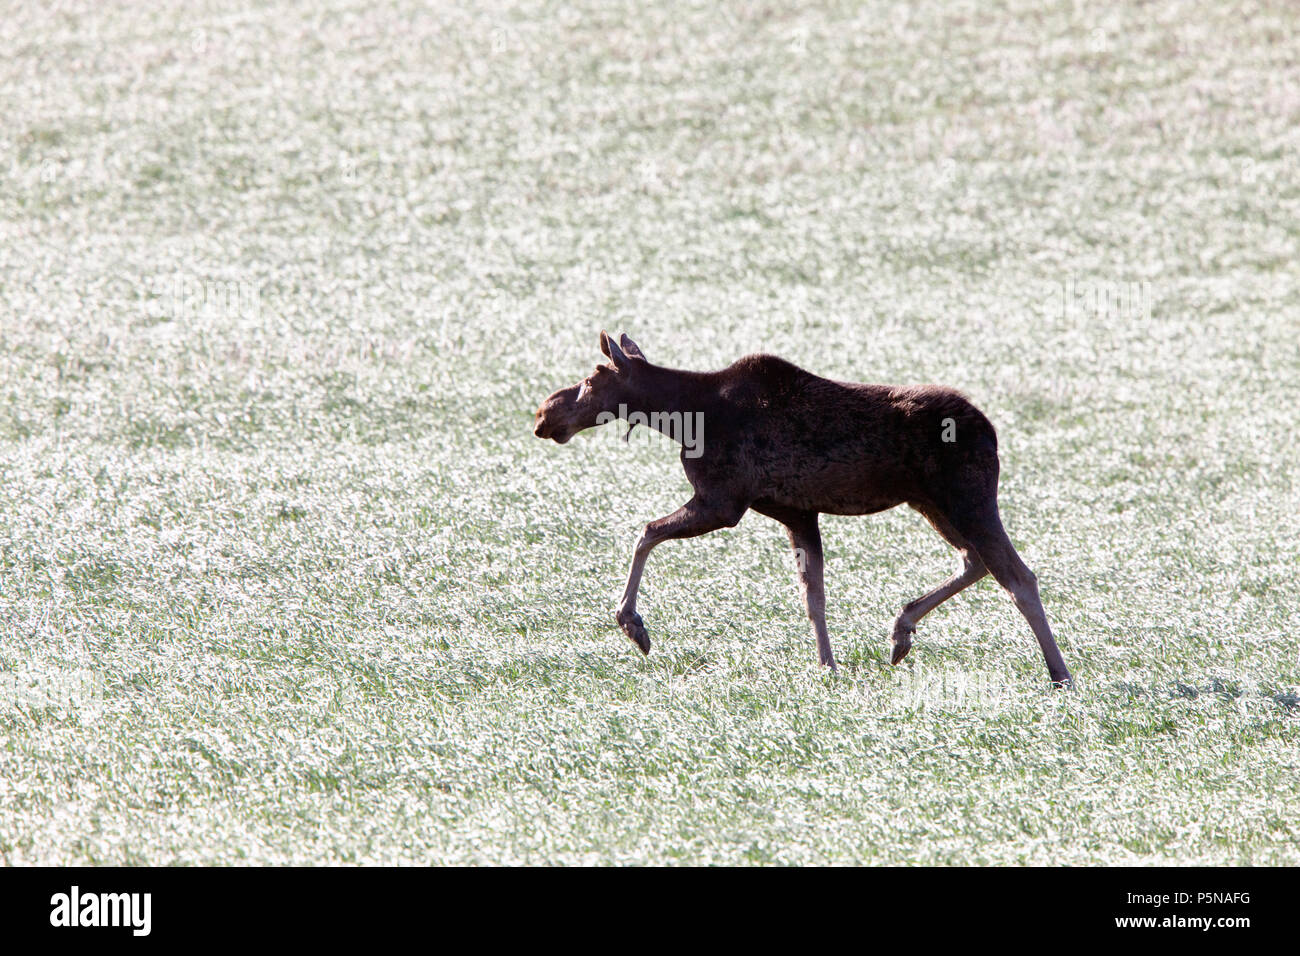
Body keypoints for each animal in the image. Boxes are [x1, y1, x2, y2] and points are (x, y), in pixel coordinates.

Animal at [532, 331, 1072, 686]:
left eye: (591, 378)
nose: (544, 413)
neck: (682, 417)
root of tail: (992, 431)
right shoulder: (796, 512)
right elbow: (814, 595)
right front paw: (827, 665)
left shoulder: (723, 502)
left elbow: (644, 532)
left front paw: (633, 625)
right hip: (931, 502)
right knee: (975, 560)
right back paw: (901, 632)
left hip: (966, 498)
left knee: (1018, 576)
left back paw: (1060, 673)